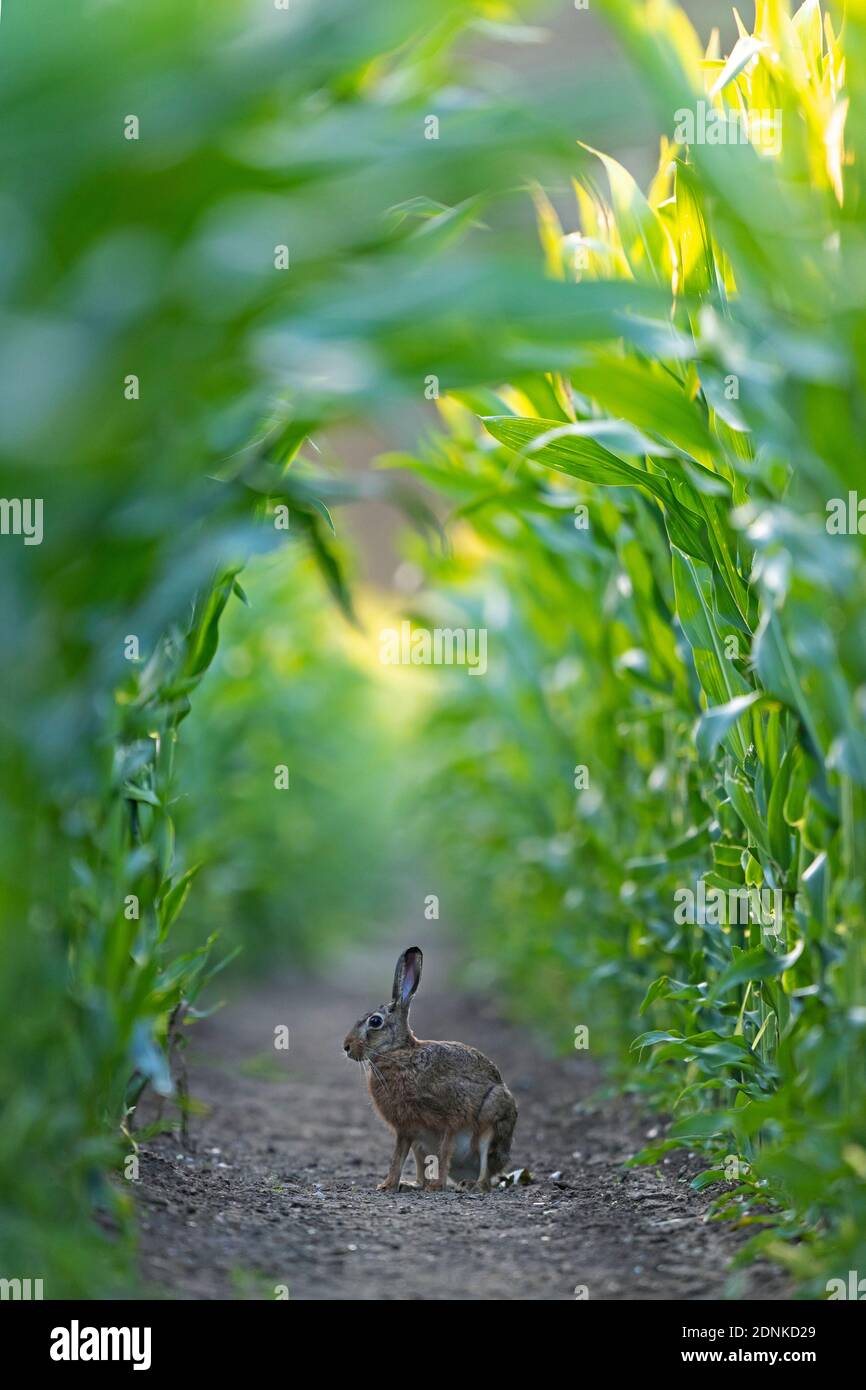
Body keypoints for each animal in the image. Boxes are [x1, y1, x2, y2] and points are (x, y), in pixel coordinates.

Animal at [343, 946, 518, 1192]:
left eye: (375, 1022)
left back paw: (473, 1185)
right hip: (424, 1143)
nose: (346, 1047)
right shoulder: (407, 1130)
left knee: (485, 1167)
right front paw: (389, 1185)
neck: (398, 1052)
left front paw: (436, 1186)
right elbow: (399, 1157)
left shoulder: (448, 1119)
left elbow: (442, 1152)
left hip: (492, 1121)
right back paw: (415, 1185)